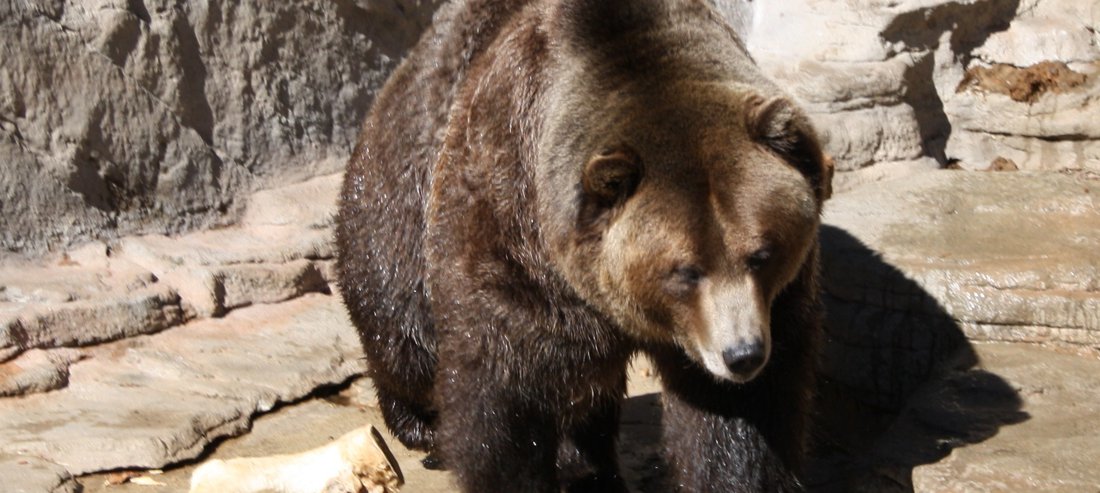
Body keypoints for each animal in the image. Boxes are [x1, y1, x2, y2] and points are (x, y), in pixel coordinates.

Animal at [335, 0, 829, 491]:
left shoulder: (773, 307)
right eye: (685, 271)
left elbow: (739, 420)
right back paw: (420, 425)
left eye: (762, 254)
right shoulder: (514, 236)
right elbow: (504, 390)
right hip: (402, 194)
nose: (742, 354)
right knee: (402, 335)